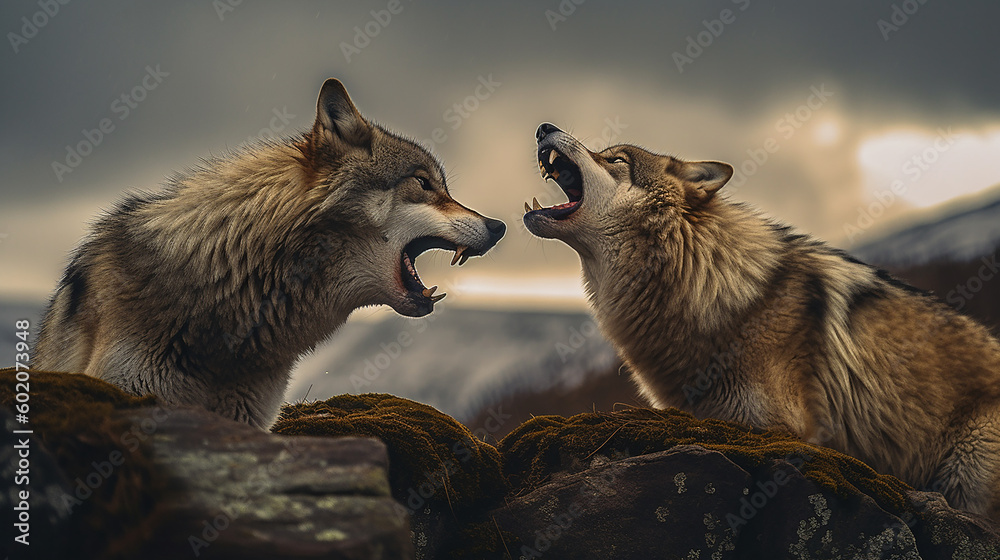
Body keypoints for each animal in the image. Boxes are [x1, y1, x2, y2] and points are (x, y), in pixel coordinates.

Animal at [523, 122, 1000, 522]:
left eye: (616, 159)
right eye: (605, 154)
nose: (544, 127)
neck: (701, 274)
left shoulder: (780, 429)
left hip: (969, 470)